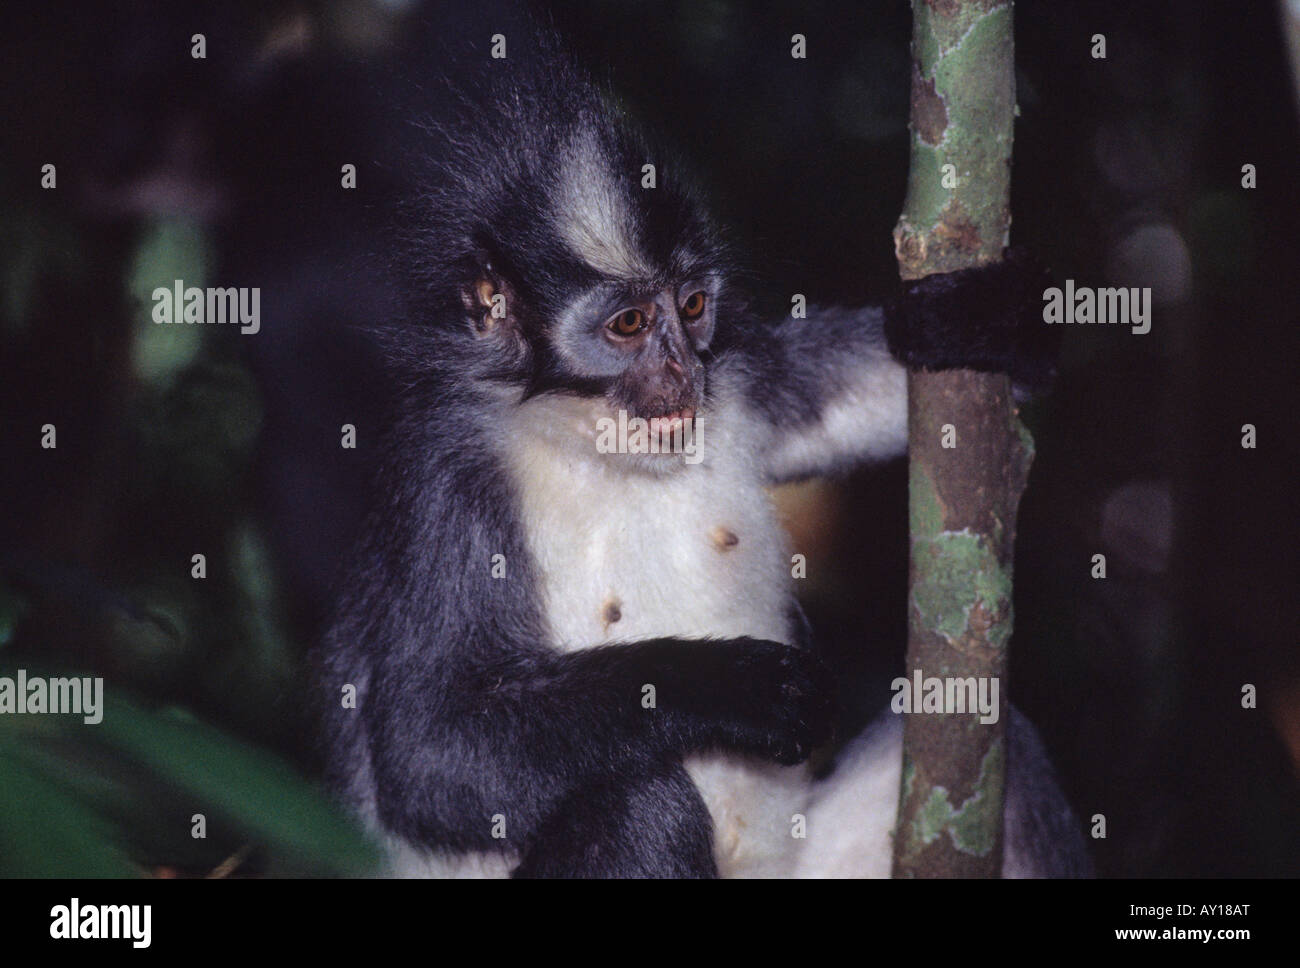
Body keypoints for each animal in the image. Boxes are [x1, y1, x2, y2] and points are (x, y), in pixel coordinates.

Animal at [315, 25, 1089, 878]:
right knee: (641, 804)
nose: (683, 372)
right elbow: (426, 755)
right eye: (627, 325)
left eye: (690, 308)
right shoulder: (449, 480)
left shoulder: (733, 376)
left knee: (1013, 759)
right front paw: (733, 688)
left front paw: (988, 324)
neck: (598, 446)